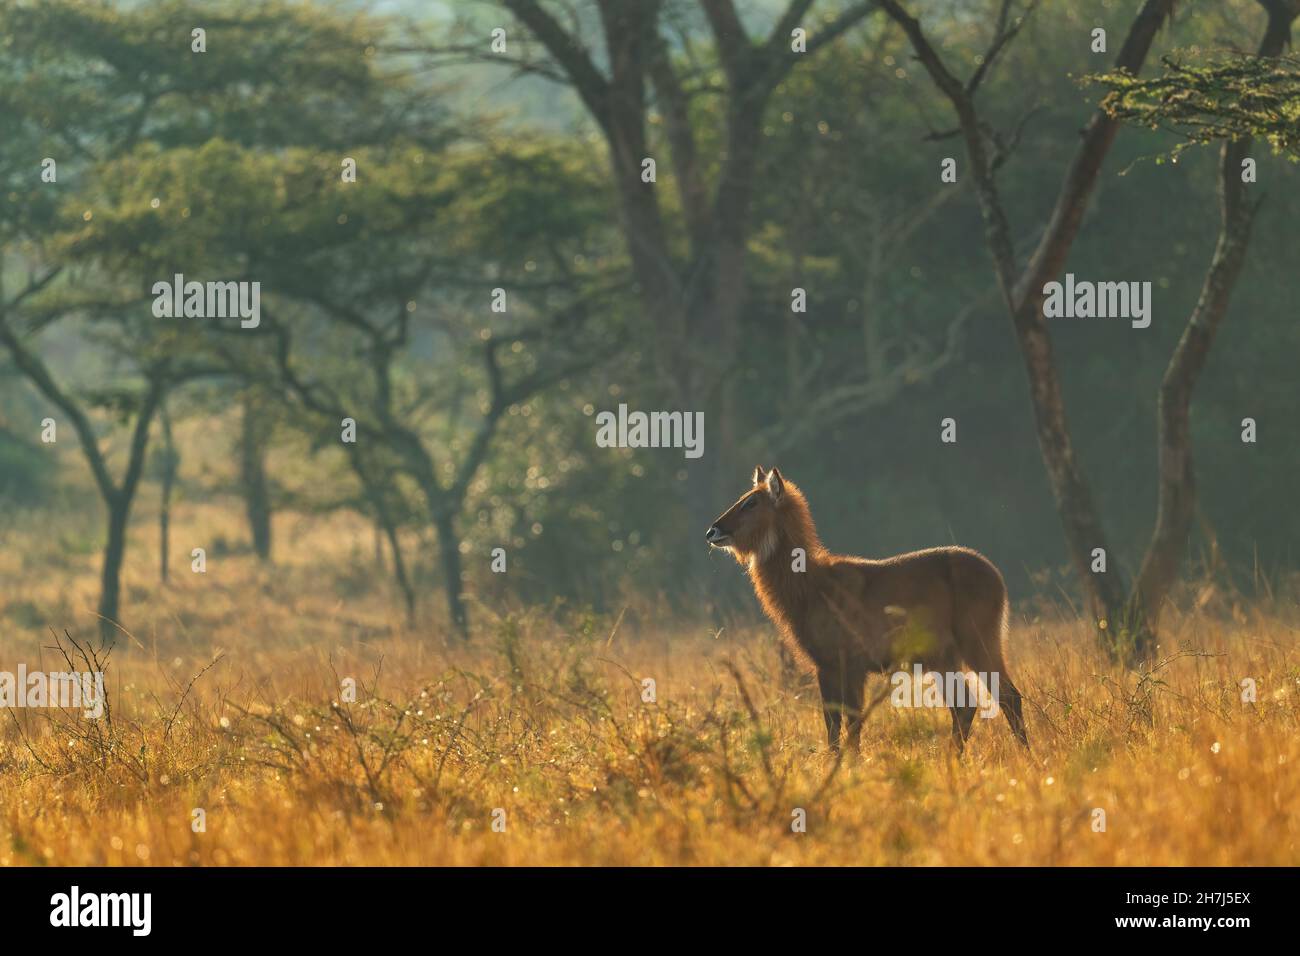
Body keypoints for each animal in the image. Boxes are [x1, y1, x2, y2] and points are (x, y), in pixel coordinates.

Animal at [706, 466, 1029, 755]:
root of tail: (996, 575)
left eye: (751, 502)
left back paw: (1024, 755)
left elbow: (847, 723)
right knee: (965, 704)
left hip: (977, 641)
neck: (810, 585)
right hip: (943, 656)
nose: (712, 530)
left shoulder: (846, 663)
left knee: (1008, 696)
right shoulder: (830, 666)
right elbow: (837, 723)